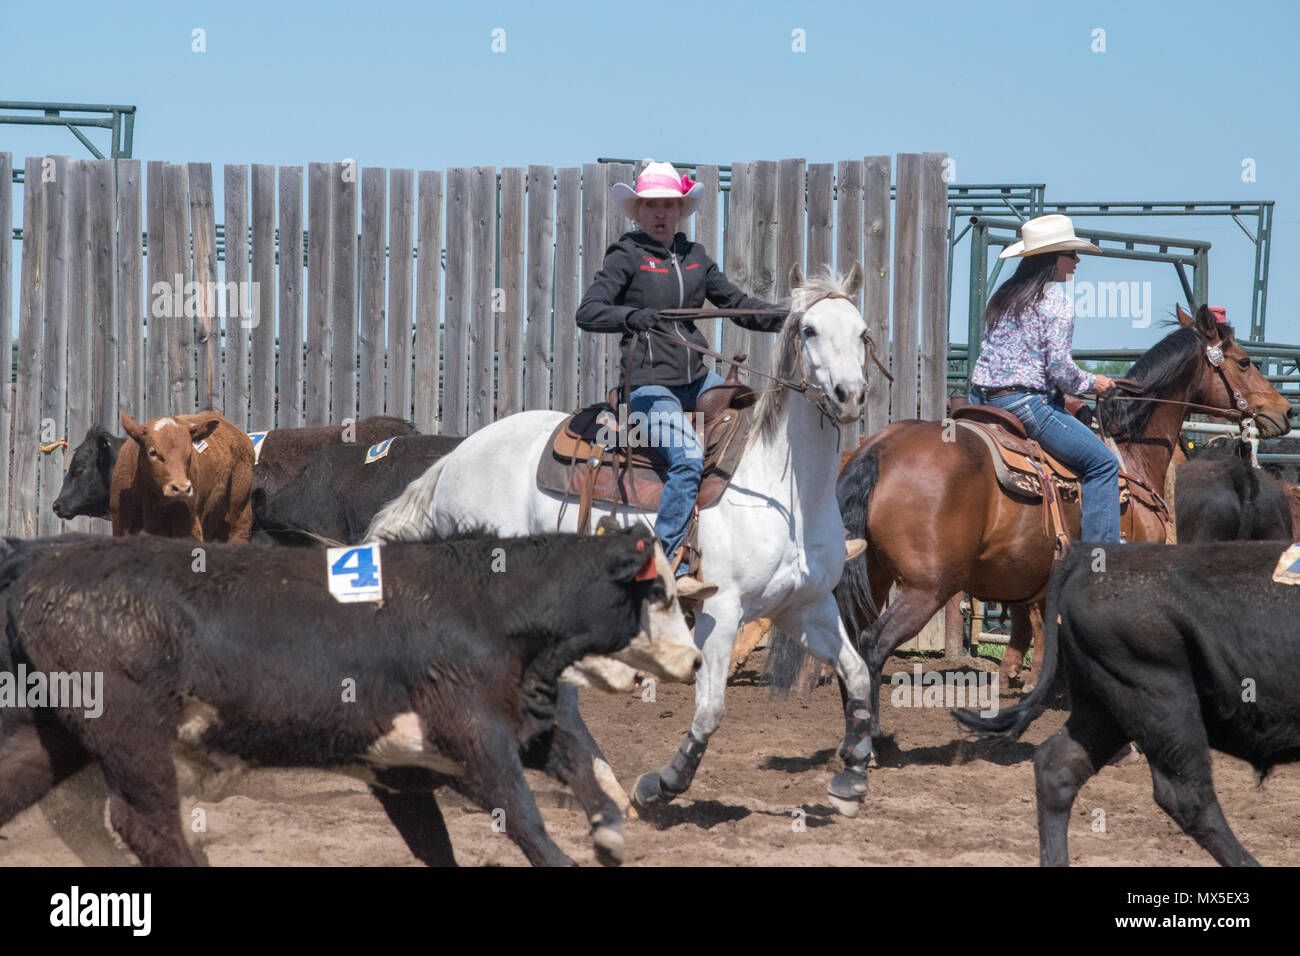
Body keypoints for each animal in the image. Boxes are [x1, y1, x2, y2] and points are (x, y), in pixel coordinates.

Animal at [0, 527, 699, 867]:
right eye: (658, 592)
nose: (694, 661)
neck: (488, 604)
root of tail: (39, 562)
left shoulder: (422, 766)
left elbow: (575, 767)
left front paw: (610, 837)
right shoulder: (474, 736)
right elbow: (527, 822)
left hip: (49, 734)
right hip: (131, 734)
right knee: (146, 826)